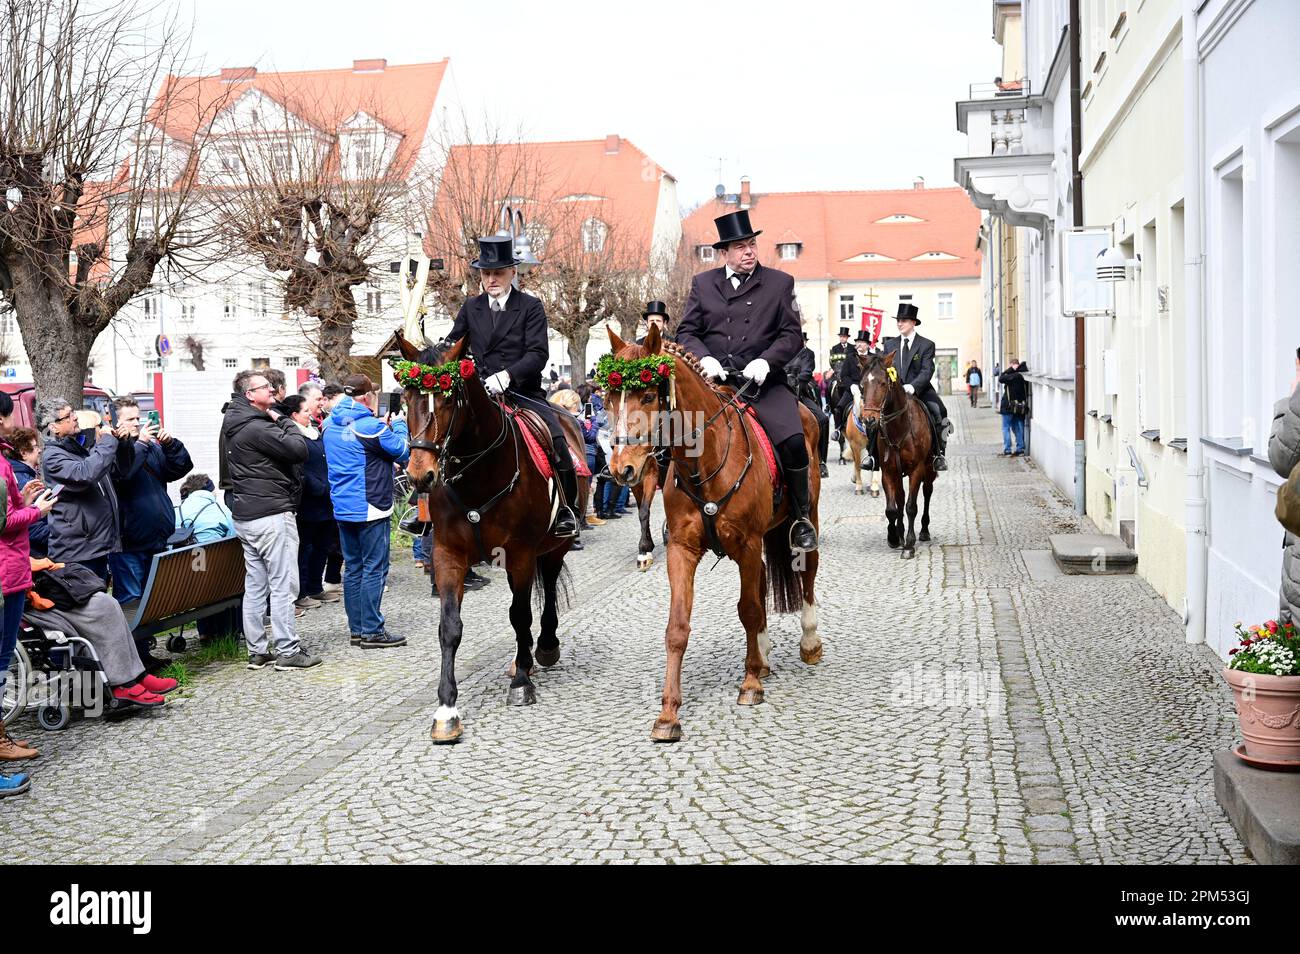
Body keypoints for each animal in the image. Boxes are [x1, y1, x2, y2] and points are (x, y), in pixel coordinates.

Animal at [395, 333, 588, 744]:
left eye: (449, 397)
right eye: (406, 396)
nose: (420, 476)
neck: (479, 473)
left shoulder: (520, 554)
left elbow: (520, 615)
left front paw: (521, 683)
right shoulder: (447, 555)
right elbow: (449, 628)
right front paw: (446, 710)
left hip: (554, 546)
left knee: (546, 590)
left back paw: (542, 650)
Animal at [603, 324, 822, 742]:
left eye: (649, 395)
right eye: (607, 398)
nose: (622, 468)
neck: (702, 462)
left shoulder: (748, 544)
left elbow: (749, 610)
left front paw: (750, 685)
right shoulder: (682, 549)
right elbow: (677, 627)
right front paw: (668, 714)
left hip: (807, 519)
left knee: (807, 573)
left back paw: (808, 642)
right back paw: (763, 656)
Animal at [856, 350, 938, 559]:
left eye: (883, 384)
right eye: (862, 385)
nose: (869, 420)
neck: (899, 428)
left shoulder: (917, 470)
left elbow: (911, 506)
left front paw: (909, 544)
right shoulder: (888, 471)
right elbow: (892, 508)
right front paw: (894, 537)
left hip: (929, 469)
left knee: (927, 493)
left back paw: (924, 531)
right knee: (900, 498)